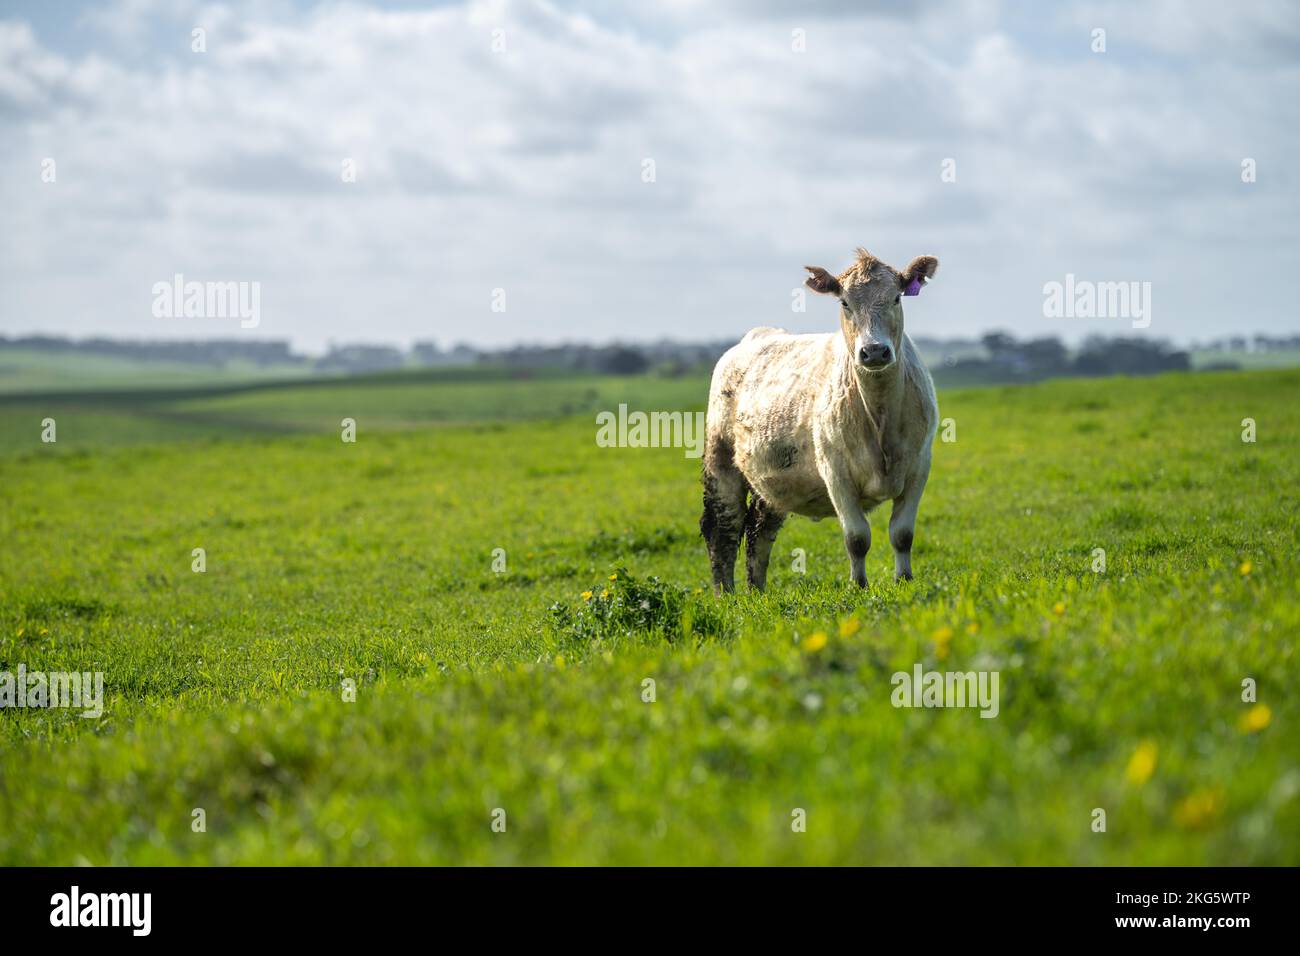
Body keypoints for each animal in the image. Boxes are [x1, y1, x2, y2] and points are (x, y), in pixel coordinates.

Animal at [701, 247, 940, 593]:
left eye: (896, 298)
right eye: (845, 303)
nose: (874, 351)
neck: (880, 413)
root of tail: (756, 337)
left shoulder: (919, 467)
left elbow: (902, 534)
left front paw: (904, 580)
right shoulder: (835, 471)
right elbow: (857, 538)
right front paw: (859, 586)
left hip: (773, 476)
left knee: (759, 528)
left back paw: (757, 593)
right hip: (719, 458)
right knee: (723, 527)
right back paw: (727, 595)